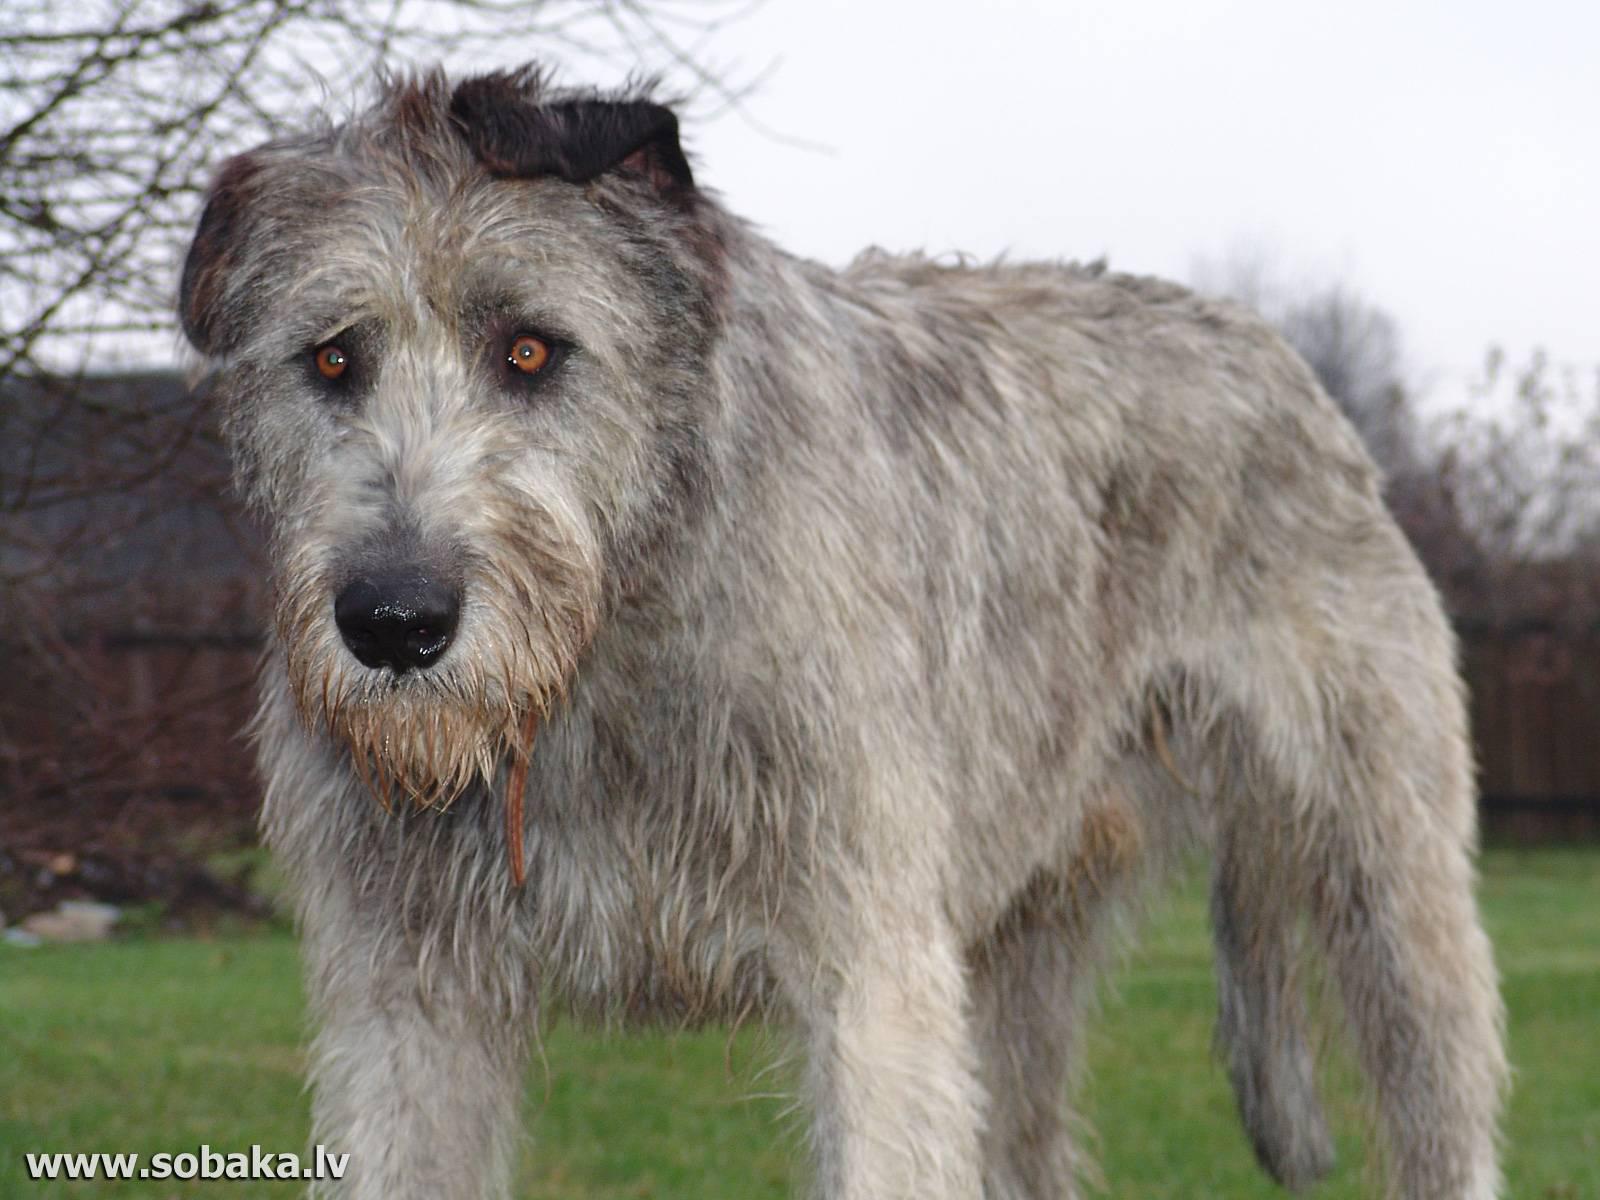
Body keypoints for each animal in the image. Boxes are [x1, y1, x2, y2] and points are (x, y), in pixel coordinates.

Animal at [181, 68, 1504, 1200]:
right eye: (330, 358)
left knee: (1436, 1083)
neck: (608, 651)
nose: (394, 622)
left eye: (530, 348)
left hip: (1385, 878)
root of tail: (1273, 350)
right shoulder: (411, 1005)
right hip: (1017, 950)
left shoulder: (873, 978)